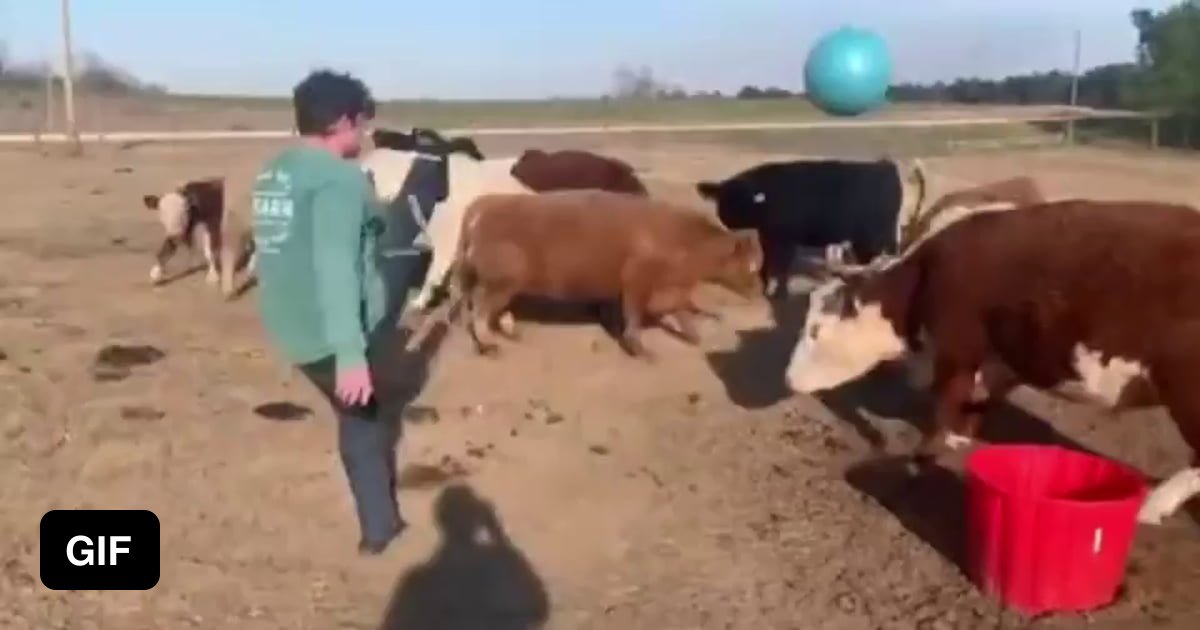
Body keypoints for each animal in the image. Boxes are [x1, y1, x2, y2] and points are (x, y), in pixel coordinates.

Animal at [450, 189, 763, 358]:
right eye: (751, 265)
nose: (761, 291)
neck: (682, 239)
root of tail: (483, 205)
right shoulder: (637, 283)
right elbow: (634, 319)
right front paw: (642, 351)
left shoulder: (671, 288)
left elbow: (683, 313)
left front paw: (695, 337)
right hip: (499, 282)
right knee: (479, 312)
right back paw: (489, 345)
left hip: (505, 284)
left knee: (491, 311)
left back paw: (510, 334)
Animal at [695, 157, 928, 298]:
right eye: (723, 200)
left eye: (743, 201)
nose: (729, 221)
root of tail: (885, 165)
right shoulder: (768, 237)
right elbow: (766, 264)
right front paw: (764, 288)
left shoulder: (786, 240)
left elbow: (782, 267)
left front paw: (780, 295)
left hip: (876, 235)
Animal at [784, 198, 1200, 526]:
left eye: (816, 330)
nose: (789, 379)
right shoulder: (995, 362)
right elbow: (974, 405)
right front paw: (959, 437)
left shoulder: (957, 351)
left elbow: (942, 411)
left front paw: (918, 463)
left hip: (1185, 389)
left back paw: (1153, 504)